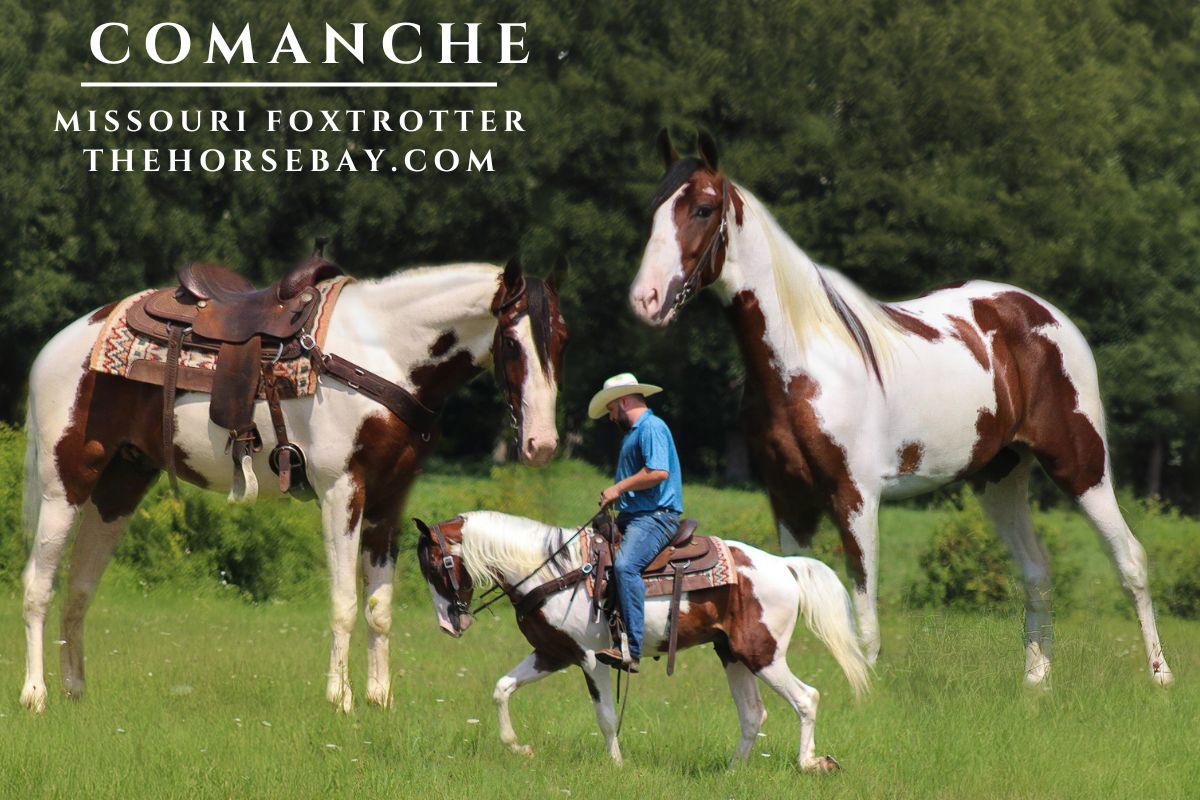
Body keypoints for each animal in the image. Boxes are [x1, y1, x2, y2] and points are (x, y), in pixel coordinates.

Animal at [19, 256, 568, 714]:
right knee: (37, 586)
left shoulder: (390, 500)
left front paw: (380, 700)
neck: (386, 352)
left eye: (561, 338)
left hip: (120, 486)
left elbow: (379, 608)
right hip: (64, 484)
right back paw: (35, 696)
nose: (541, 444)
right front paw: (340, 700)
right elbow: (345, 604)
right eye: (512, 342)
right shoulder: (342, 491)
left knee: (79, 588)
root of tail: (56, 346)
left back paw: (75, 692)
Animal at [413, 511, 869, 771]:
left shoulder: (591, 658)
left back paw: (810, 764)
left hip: (764, 655)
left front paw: (617, 767)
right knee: (753, 714)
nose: (447, 624)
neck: (555, 570)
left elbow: (606, 717)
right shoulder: (552, 653)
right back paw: (732, 773)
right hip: (732, 654)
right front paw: (518, 749)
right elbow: (502, 688)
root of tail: (782, 565)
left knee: (806, 698)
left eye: (436, 564)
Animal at [627, 130, 1173, 688]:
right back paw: (1035, 685)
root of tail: (1045, 314)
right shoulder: (790, 500)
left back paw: (1160, 677)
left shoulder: (855, 498)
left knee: (1130, 560)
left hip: (1081, 466)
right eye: (653, 209)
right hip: (999, 476)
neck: (806, 362)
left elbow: (864, 617)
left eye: (702, 208)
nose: (646, 299)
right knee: (1037, 571)